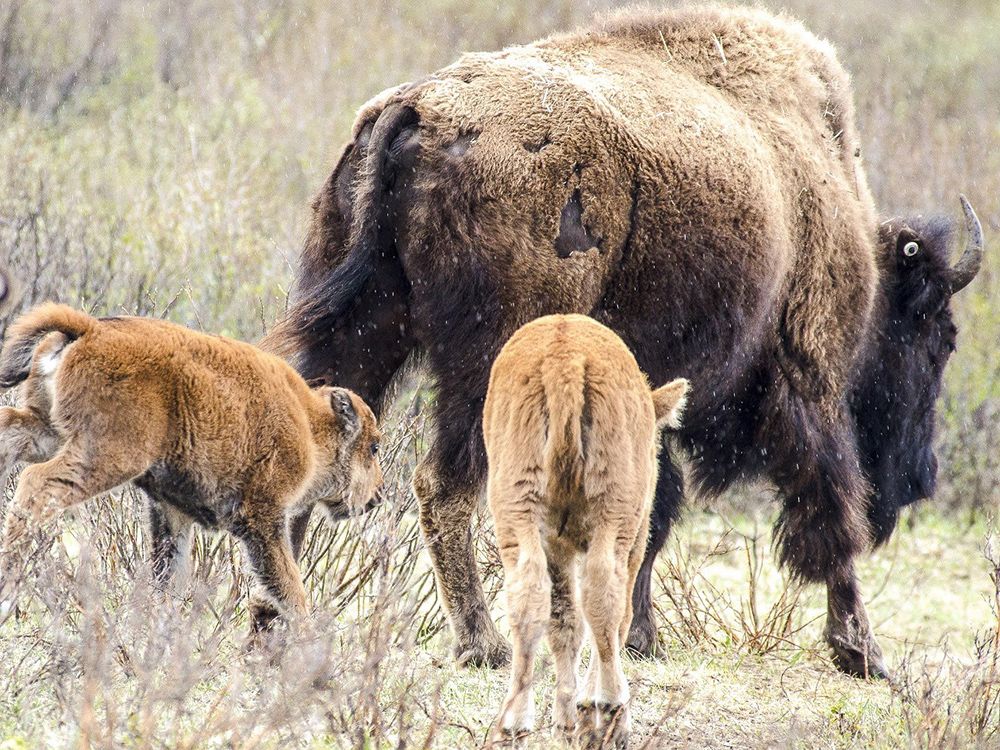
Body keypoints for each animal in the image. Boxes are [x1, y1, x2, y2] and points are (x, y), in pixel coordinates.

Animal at [263, 7, 986, 678]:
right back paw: (482, 645)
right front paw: (862, 652)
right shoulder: (810, 377)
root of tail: (415, 109)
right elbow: (829, 512)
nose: (921, 479)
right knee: (443, 484)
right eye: (936, 339)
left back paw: (278, 628)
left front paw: (638, 635)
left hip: (361, 332)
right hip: (484, 364)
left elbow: (651, 512)